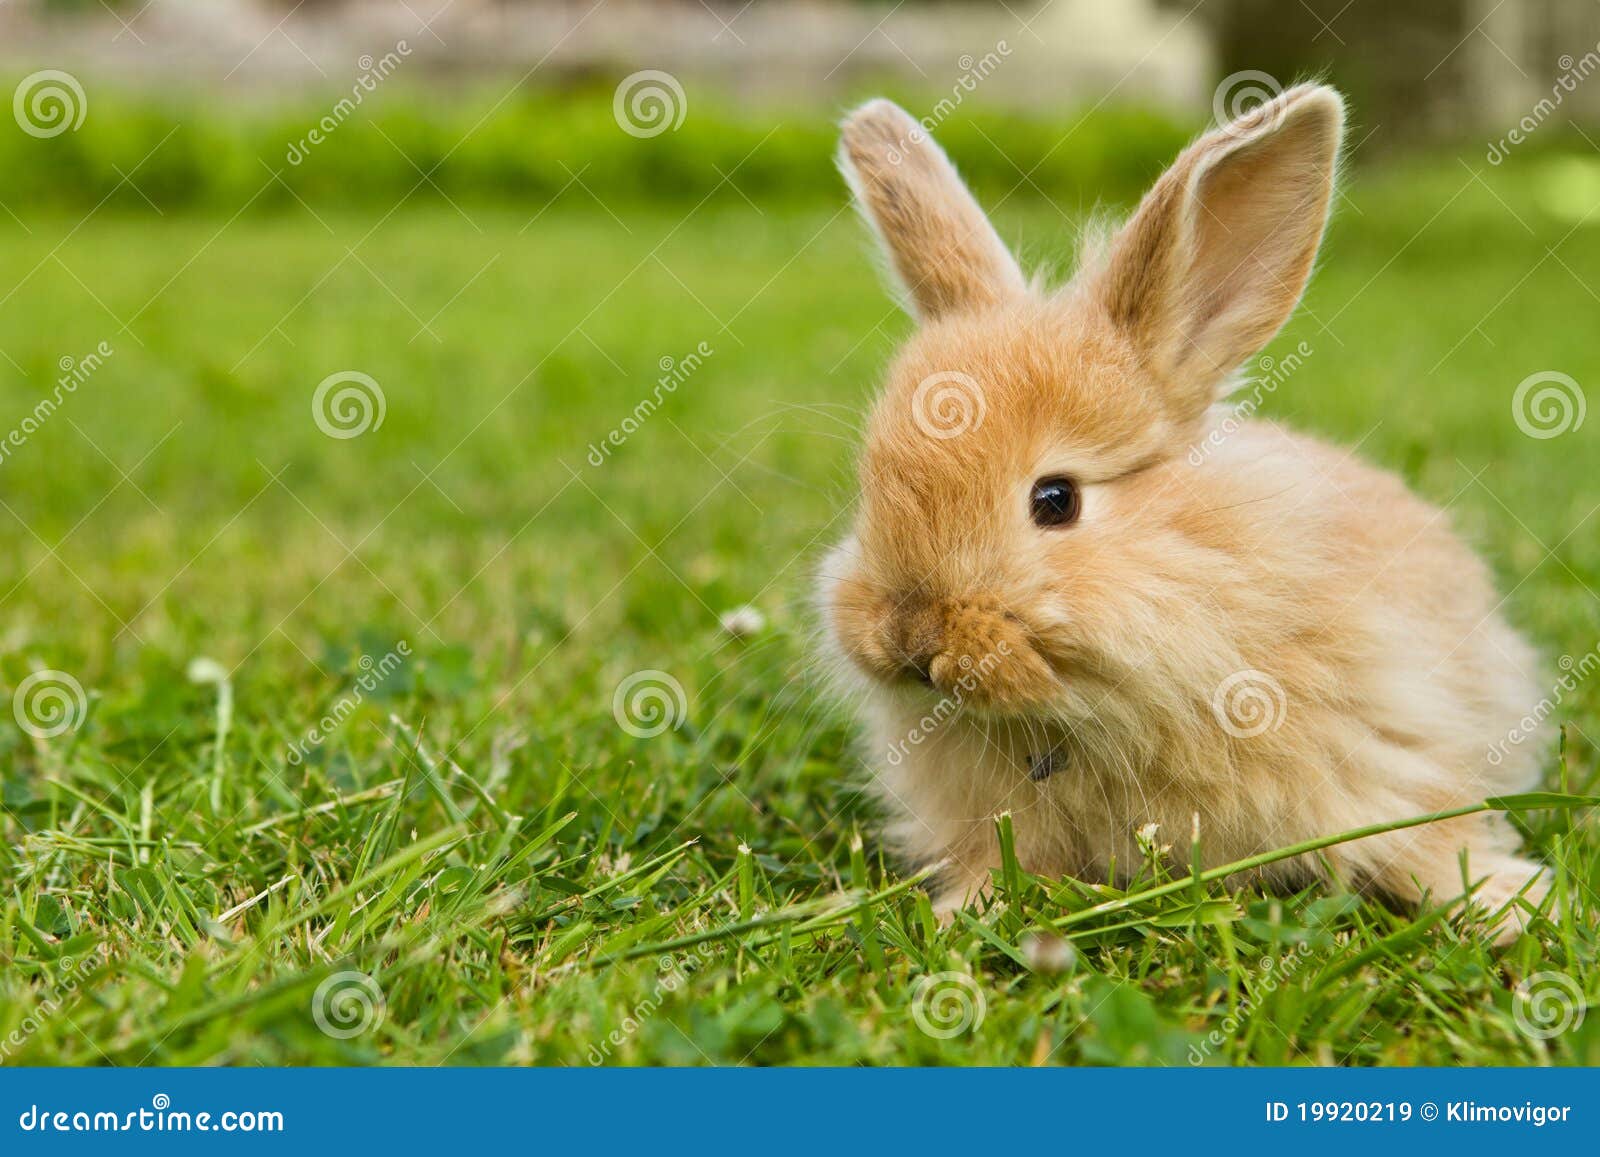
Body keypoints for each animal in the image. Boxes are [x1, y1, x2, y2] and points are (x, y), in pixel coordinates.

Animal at [817, 83, 1551, 944]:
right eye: (869, 490)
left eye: (1055, 499)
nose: (908, 636)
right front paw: (957, 915)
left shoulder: (1397, 747)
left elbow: (1428, 839)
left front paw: (1515, 902)